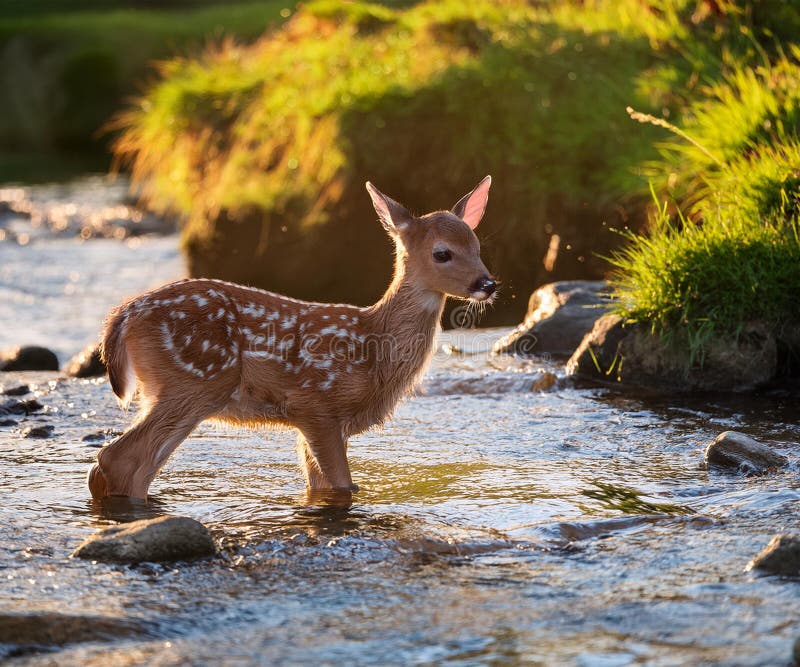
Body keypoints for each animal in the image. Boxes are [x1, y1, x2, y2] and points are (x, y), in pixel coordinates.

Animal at [87, 176, 497, 500]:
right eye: (442, 253)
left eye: (478, 248)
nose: (488, 283)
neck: (374, 347)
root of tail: (123, 315)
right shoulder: (317, 405)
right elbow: (342, 484)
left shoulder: (318, 423)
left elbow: (319, 483)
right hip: (195, 380)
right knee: (120, 458)